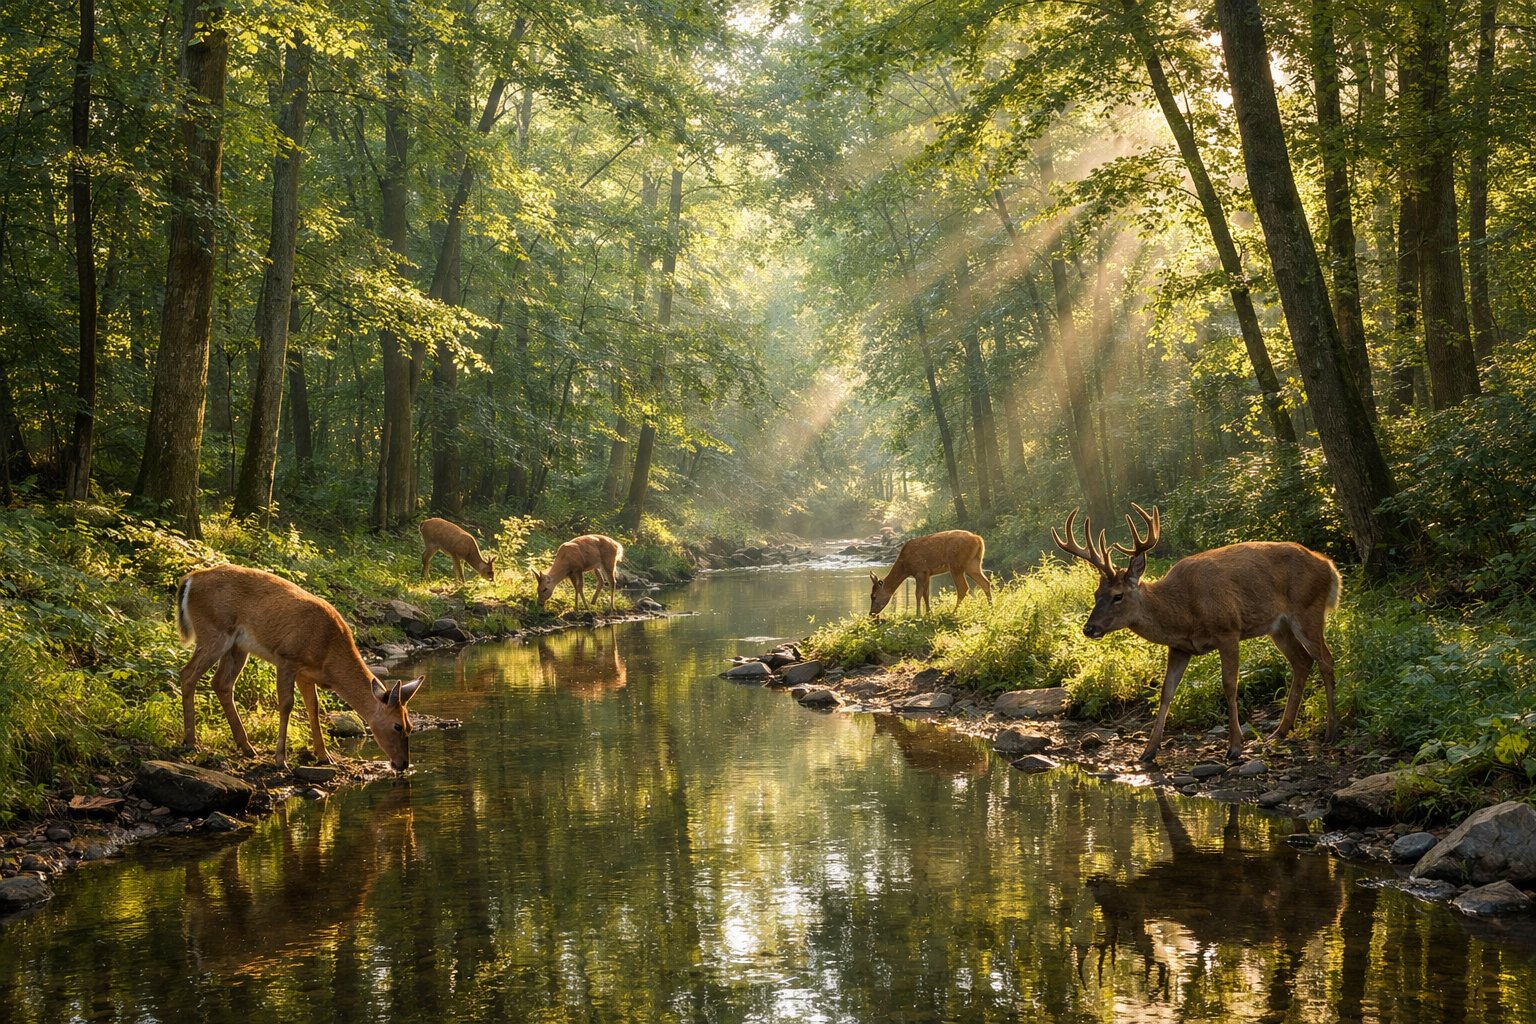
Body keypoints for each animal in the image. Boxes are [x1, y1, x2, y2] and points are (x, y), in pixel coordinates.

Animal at [175, 564, 424, 771]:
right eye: (397, 726)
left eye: (411, 726)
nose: (403, 764)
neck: (329, 654)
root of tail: (189, 580)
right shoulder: (287, 658)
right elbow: (287, 705)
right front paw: (280, 759)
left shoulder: (307, 675)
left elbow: (313, 708)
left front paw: (324, 756)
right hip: (213, 631)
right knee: (187, 673)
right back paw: (191, 742)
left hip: (237, 646)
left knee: (221, 683)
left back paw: (246, 747)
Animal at [1053, 503, 1341, 763]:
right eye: (1095, 594)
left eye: (1118, 596)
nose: (1089, 628)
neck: (1184, 612)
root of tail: (1329, 566)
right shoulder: (1180, 647)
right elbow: (1166, 692)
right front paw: (1148, 751)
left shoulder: (1228, 630)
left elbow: (1229, 685)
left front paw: (1235, 747)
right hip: (1278, 627)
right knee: (1302, 661)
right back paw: (1280, 732)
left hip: (1307, 609)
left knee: (1326, 659)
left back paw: (1330, 731)